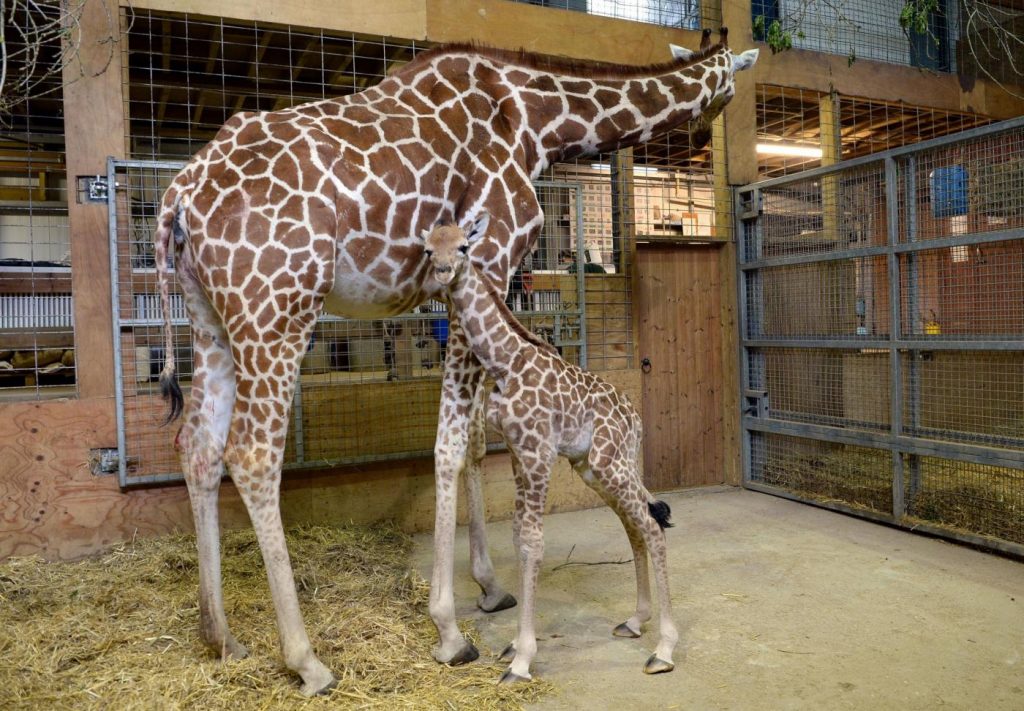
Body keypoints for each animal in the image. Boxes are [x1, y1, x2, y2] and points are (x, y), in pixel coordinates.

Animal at [421, 214, 677, 683]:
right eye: (430, 249)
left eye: (464, 246)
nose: (445, 272)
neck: (505, 362)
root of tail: (635, 420)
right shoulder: (520, 454)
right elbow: (520, 537)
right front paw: (514, 646)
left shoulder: (538, 453)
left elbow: (532, 543)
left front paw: (522, 659)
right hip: (595, 468)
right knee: (637, 525)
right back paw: (635, 621)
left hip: (608, 464)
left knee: (651, 527)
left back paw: (664, 649)